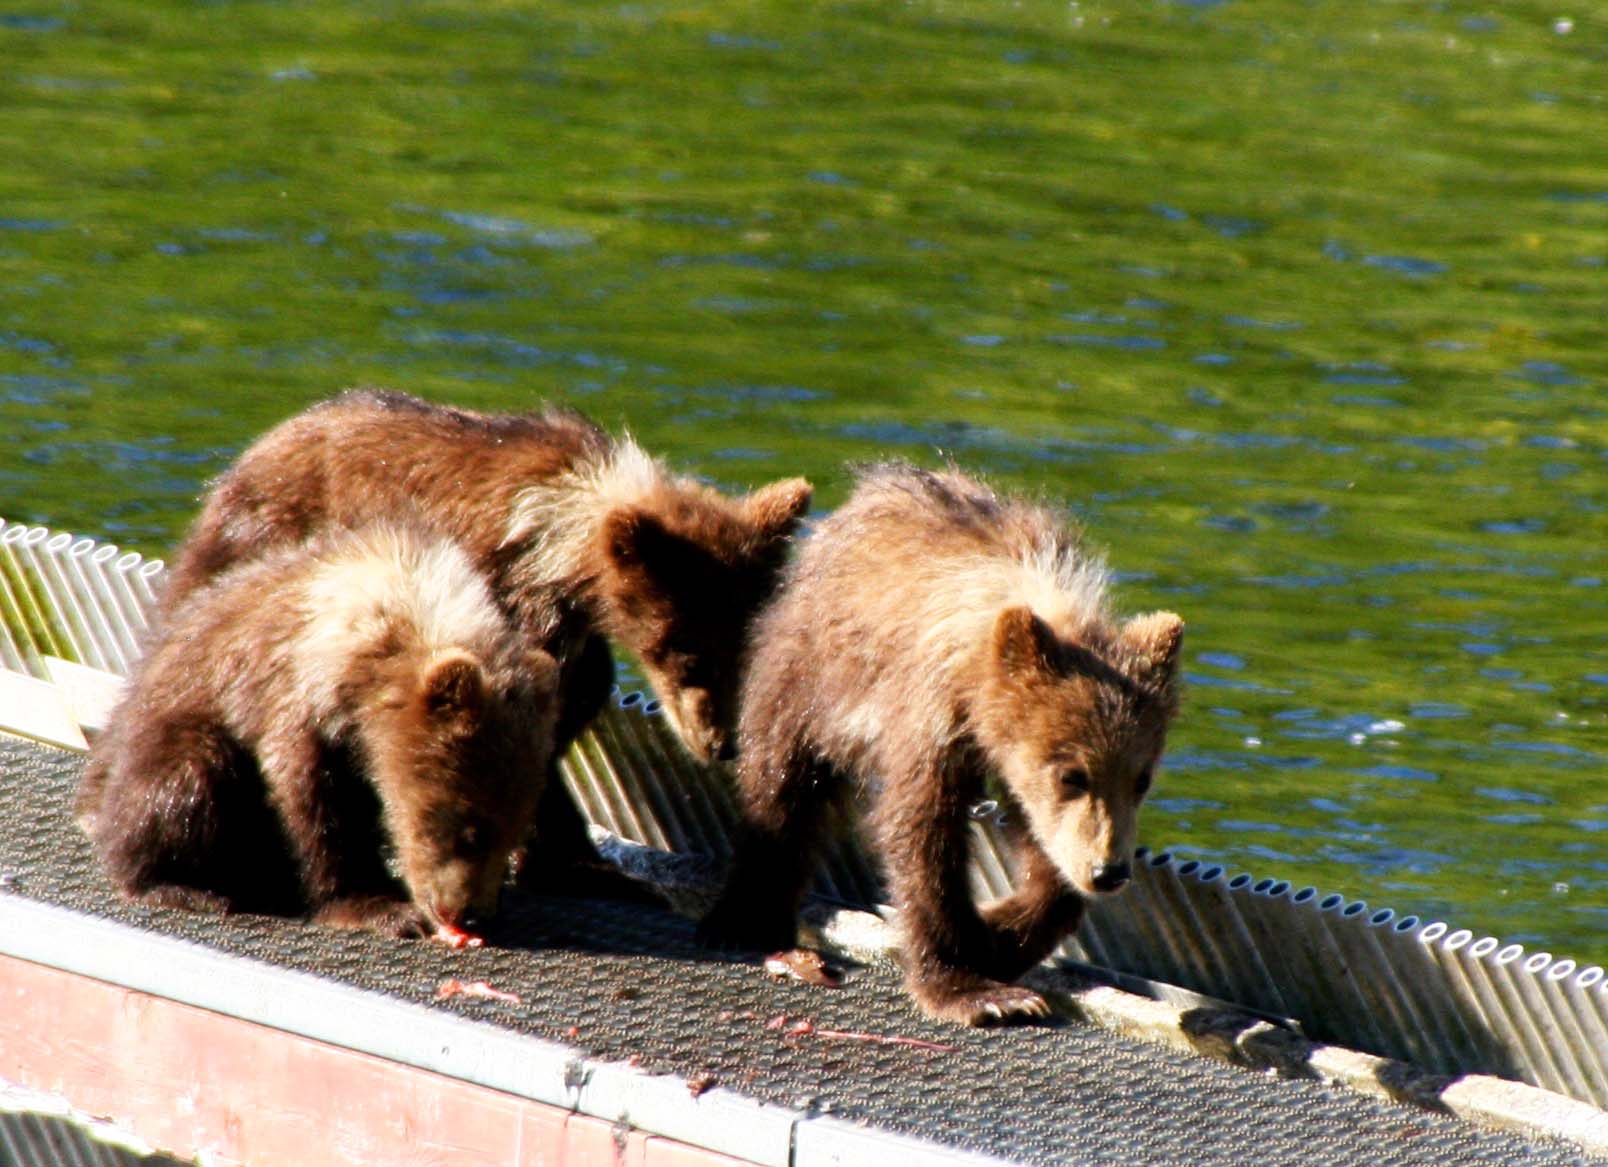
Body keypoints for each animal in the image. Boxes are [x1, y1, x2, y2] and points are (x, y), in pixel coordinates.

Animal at [77, 521, 561, 941]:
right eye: (470, 829)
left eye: (515, 829)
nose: (469, 912)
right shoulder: (299, 693)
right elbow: (311, 799)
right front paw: (373, 905)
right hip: (175, 728)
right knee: (183, 779)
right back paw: (179, 885)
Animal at [156, 388, 813, 895]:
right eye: (687, 654)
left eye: (744, 654)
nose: (721, 743)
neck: (559, 548)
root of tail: (238, 467)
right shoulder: (504, 597)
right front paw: (572, 859)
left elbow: (573, 699)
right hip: (264, 544)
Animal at [697, 463, 1184, 1026]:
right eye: (1072, 774)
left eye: (1142, 778)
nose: (1109, 871)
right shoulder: (930, 713)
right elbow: (921, 831)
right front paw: (973, 990)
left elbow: (1043, 846)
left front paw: (997, 934)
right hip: (808, 672)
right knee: (781, 787)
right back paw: (746, 918)